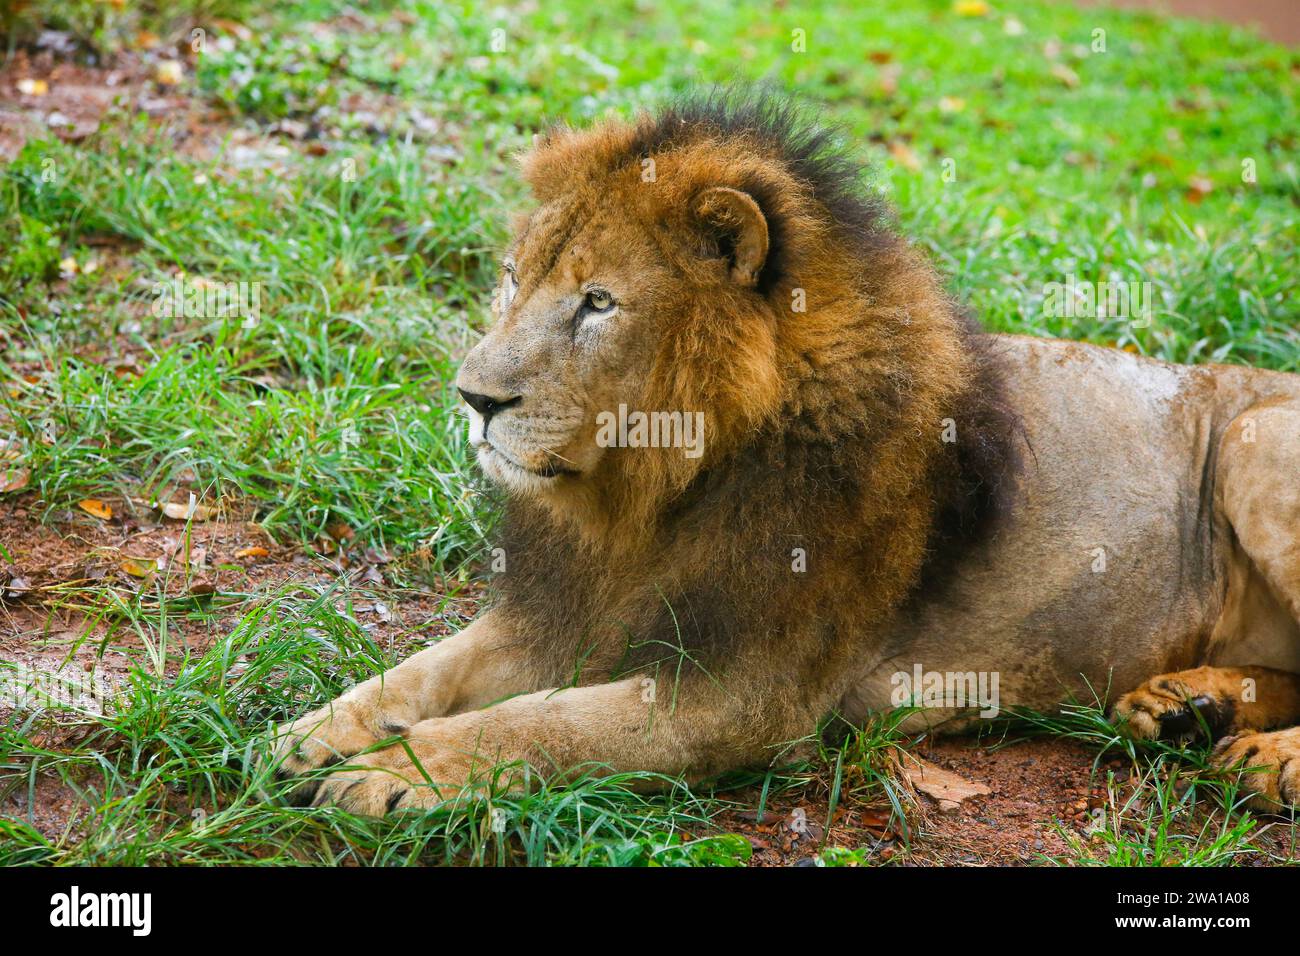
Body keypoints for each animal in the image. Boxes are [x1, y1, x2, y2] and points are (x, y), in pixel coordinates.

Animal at [268, 94, 1300, 815]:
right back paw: (1184, 707)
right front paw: (316, 731)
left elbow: (540, 722)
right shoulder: (563, 610)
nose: (475, 399)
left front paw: (401, 770)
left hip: (1256, 437)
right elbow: (428, 667)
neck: (646, 497)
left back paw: (1266, 763)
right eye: (514, 279)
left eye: (598, 303)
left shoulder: (740, 696)